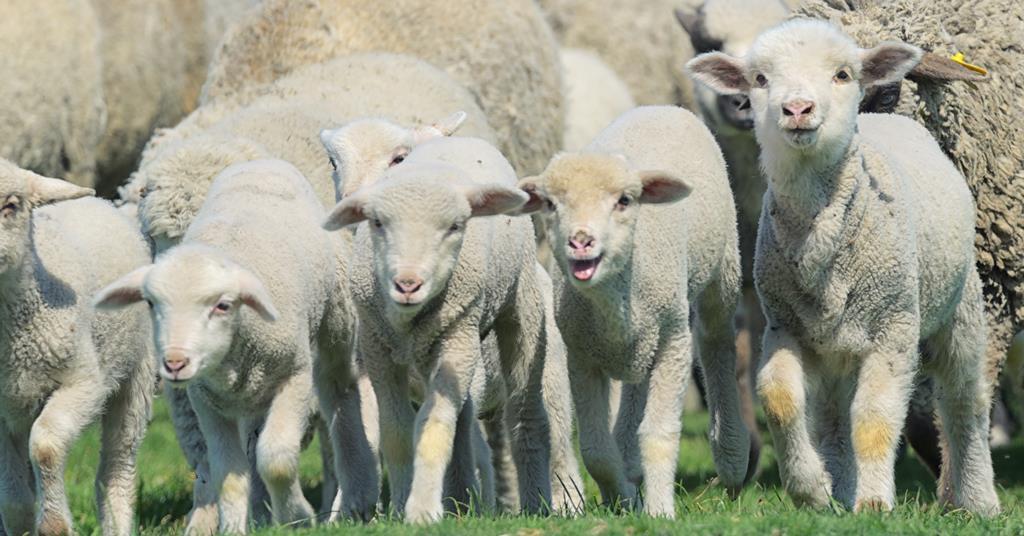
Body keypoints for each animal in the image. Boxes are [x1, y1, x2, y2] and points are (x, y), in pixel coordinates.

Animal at [0, 158, 154, 535]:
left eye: (11, 205)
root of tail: (99, 200)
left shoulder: (83, 382)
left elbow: (46, 446)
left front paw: (54, 525)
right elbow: (14, 501)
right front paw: (21, 525)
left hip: (136, 375)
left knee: (117, 465)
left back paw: (117, 523)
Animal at [96, 159, 380, 532]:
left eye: (222, 305)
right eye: (151, 303)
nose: (175, 363)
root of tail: (262, 163)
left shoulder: (294, 377)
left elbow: (276, 458)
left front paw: (297, 517)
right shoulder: (206, 402)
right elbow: (228, 474)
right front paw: (233, 527)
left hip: (336, 319)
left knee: (338, 391)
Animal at [322, 146, 564, 523]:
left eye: (454, 226)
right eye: (377, 223)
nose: (407, 284)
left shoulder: (457, 337)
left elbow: (434, 425)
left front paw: (422, 510)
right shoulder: (377, 350)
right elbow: (396, 433)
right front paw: (401, 502)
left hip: (519, 305)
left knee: (526, 409)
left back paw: (537, 501)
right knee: (464, 421)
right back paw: (460, 497)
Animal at [514, 105, 752, 517]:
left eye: (624, 201)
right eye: (550, 204)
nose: (581, 241)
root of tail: (662, 108)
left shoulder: (674, 344)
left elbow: (659, 433)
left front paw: (659, 511)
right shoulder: (582, 358)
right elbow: (595, 451)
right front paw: (621, 496)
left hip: (722, 265)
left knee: (716, 342)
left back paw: (732, 460)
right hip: (643, 340)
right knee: (635, 389)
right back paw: (630, 467)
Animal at [687, 19, 1000, 515]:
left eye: (842, 74)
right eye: (760, 79)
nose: (797, 109)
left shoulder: (893, 330)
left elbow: (874, 417)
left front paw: (873, 504)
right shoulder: (785, 326)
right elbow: (778, 397)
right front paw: (811, 490)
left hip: (960, 307)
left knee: (964, 398)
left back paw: (976, 499)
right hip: (836, 346)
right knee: (834, 418)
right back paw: (839, 484)